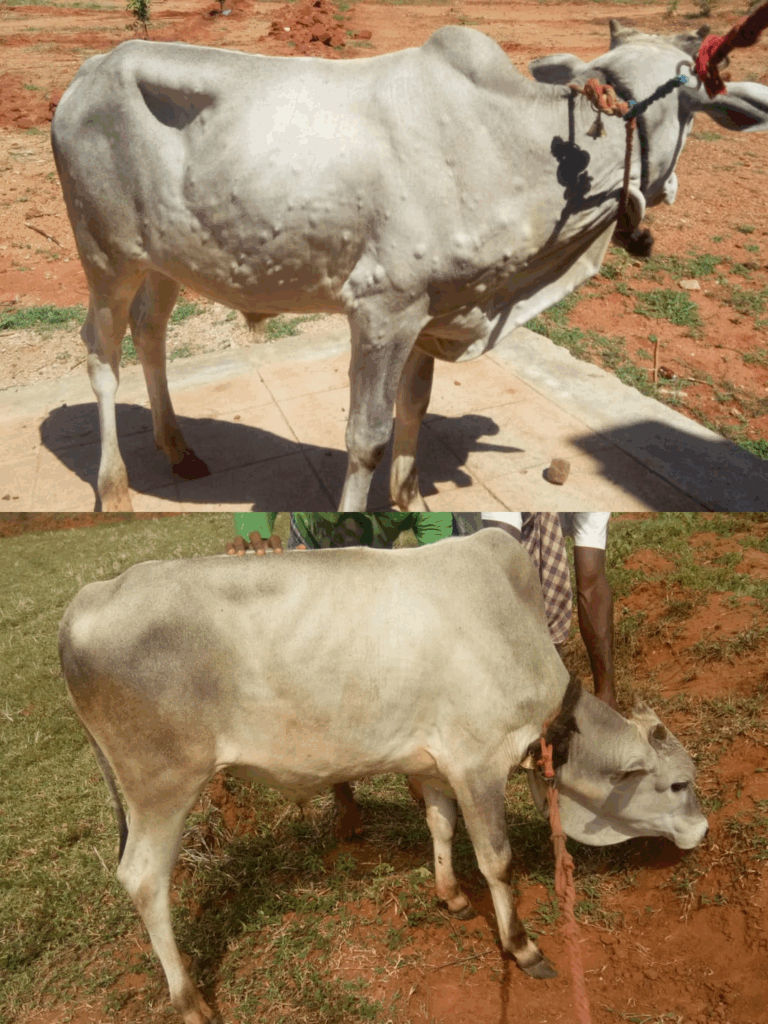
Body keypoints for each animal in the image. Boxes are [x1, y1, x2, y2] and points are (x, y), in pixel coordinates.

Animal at [50, 22, 768, 512]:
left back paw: (177, 448)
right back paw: (115, 488)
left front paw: (411, 501)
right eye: (688, 97)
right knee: (101, 356)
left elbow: (415, 409)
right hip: (104, 256)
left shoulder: (434, 309)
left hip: (162, 259)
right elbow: (366, 434)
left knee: (150, 334)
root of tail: (95, 66)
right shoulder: (383, 310)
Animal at [59, 529, 708, 1024]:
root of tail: (90, 597)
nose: (701, 831)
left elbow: (441, 827)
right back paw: (190, 1000)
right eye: (678, 784)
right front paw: (522, 946)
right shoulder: (478, 764)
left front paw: (451, 896)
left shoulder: (438, 764)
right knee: (143, 879)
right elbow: (497, 860)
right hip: (162, 787)